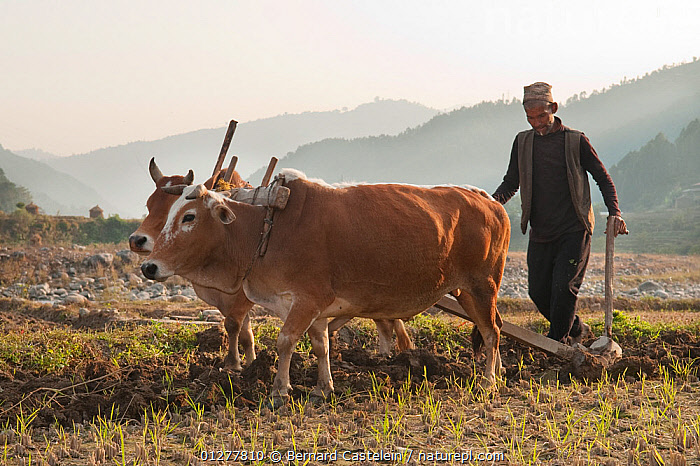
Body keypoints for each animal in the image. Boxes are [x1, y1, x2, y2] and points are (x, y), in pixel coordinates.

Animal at [141, 169, 510, 406]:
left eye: (189, 217)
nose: (149, 267)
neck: (265, 230)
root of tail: (490, 202)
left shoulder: (305, 300)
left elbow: (285, 341)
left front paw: (279, 390)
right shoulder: (314, 309)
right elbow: (321, 346)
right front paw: (322, 388)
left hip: (481, 287)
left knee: (491, 332)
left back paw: (488, 382)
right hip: (470, 291)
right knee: (494, 329)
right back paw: (501, 372)